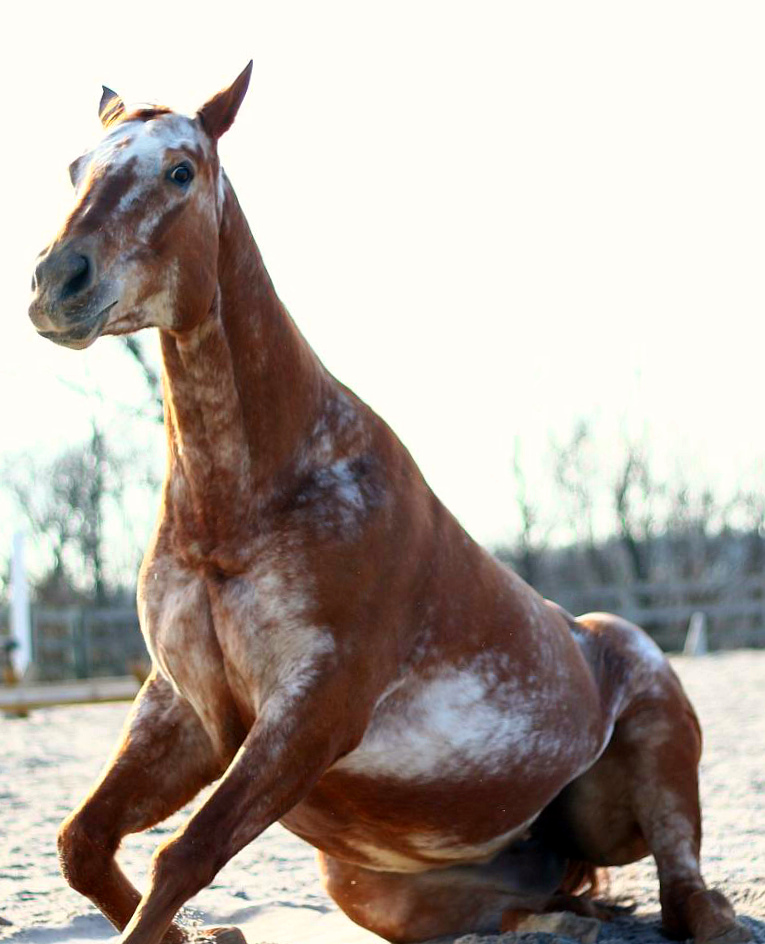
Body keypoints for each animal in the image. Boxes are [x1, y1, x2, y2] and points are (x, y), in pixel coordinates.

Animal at [28, 64, 749, 944]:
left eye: (179, 172)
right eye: (76, 168)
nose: (58, 282)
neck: (242, 505)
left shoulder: (311, 714)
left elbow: (182, 858)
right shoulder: (184, 714)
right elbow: (83, 845)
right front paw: (210, 932)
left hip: (655, 745)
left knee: (686, 897)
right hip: (375, 887)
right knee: (546, 902)